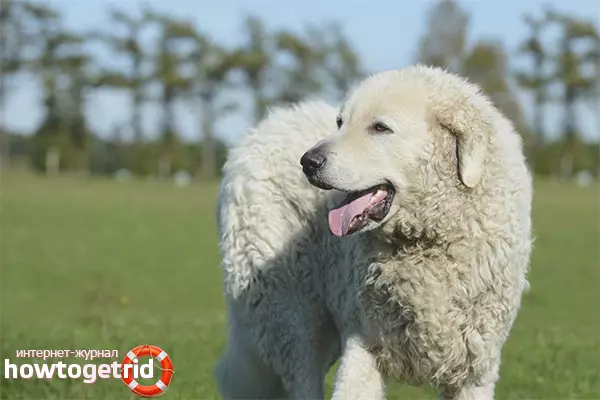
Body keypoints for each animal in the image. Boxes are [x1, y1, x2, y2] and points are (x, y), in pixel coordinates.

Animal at [213, 66, 532, 400]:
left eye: (380, 128)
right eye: (340, 122)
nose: (308, 162)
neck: (424, 242)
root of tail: (263, 129)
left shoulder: (475, 369)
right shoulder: (363, 341)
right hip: (291, 317)